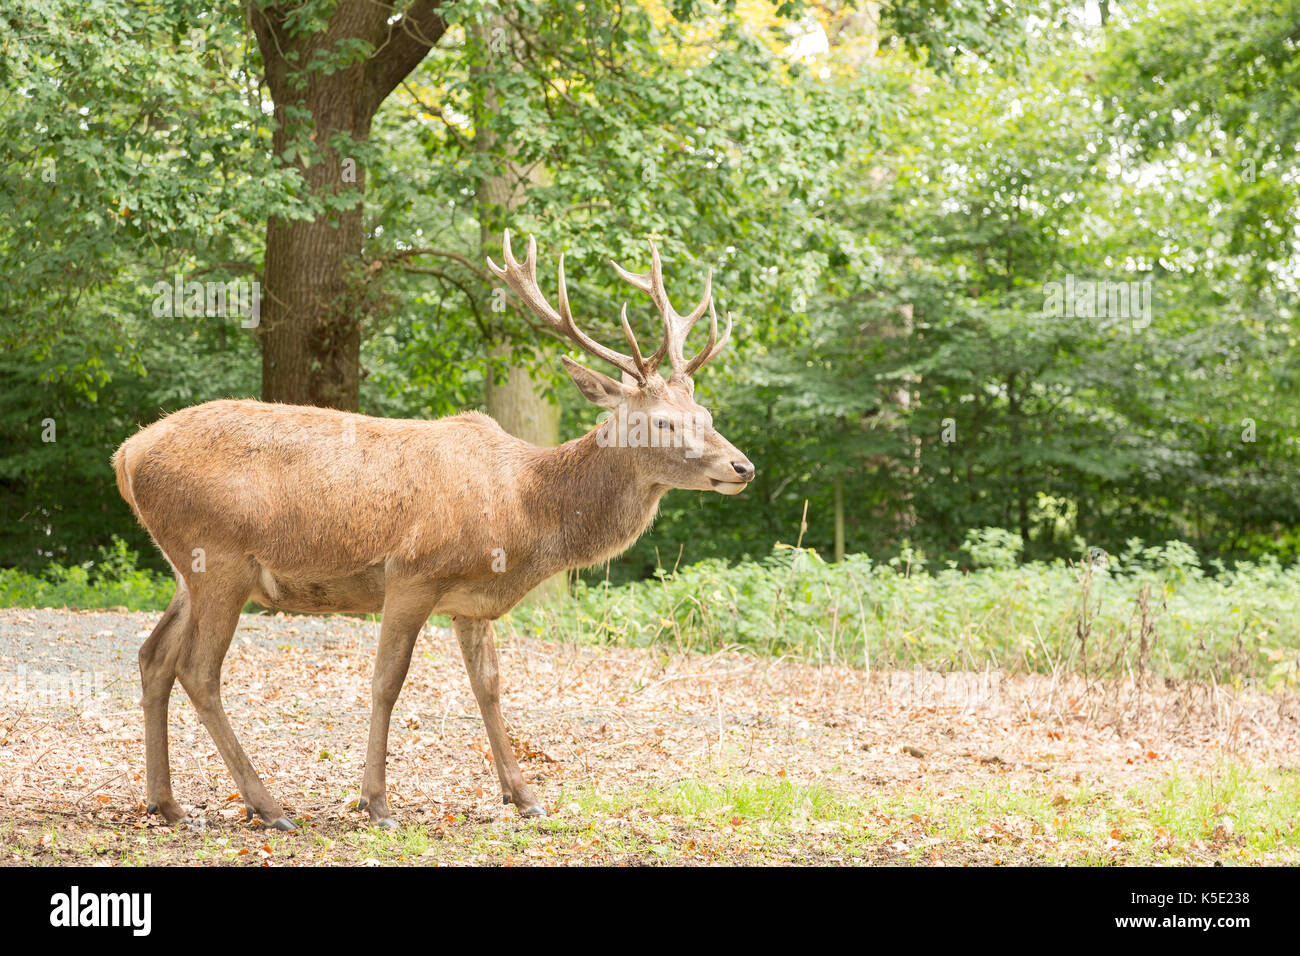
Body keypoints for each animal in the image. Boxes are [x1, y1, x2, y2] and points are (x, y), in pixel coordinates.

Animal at [112, 231, 754, 829]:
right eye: (663, 422)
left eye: (708, 415)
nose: (742, 467)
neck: (523, 512)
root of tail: (126, 456)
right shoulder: (412, 575)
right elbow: (386, 681)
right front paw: (375, 803)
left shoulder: (471, 601)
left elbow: (489, 686)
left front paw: (524, 797)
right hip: (218, 557)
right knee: (198, 670)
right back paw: (268, 806)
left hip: (186, 569)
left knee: (153, 657)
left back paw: (166, 803)